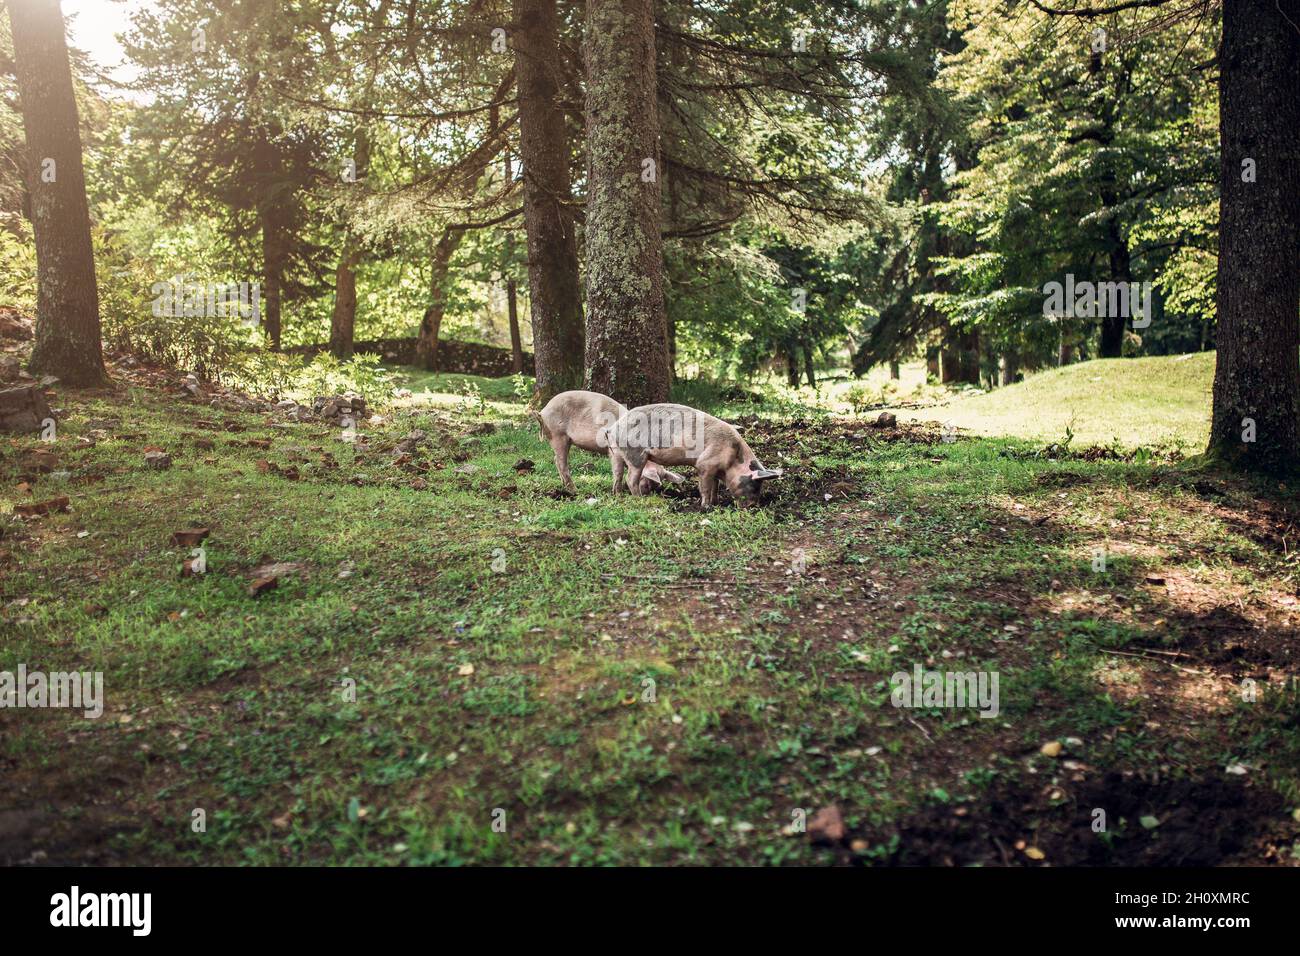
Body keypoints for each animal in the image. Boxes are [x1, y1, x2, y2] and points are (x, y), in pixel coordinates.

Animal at [533, 390, 686, 495]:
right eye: (648, 482)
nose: (646, 494)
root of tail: (543, 411)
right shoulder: (612, 449)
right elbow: (617, 469)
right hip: (558, 435)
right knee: (561, 462)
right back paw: (574, 490)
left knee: (556, 459)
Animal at [611, 403, 783, 507]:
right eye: (754, 485)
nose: (754, 507)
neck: (733, 459)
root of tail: (614, 428)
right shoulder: (705, 464)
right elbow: (705, 487)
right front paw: (706, 507)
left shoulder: (715, 470)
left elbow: (715, 487)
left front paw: (715, 503)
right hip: (636, 455)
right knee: (630, 479)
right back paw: (639, 499)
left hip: (616, 454)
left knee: (617, 475)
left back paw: (618, 495)